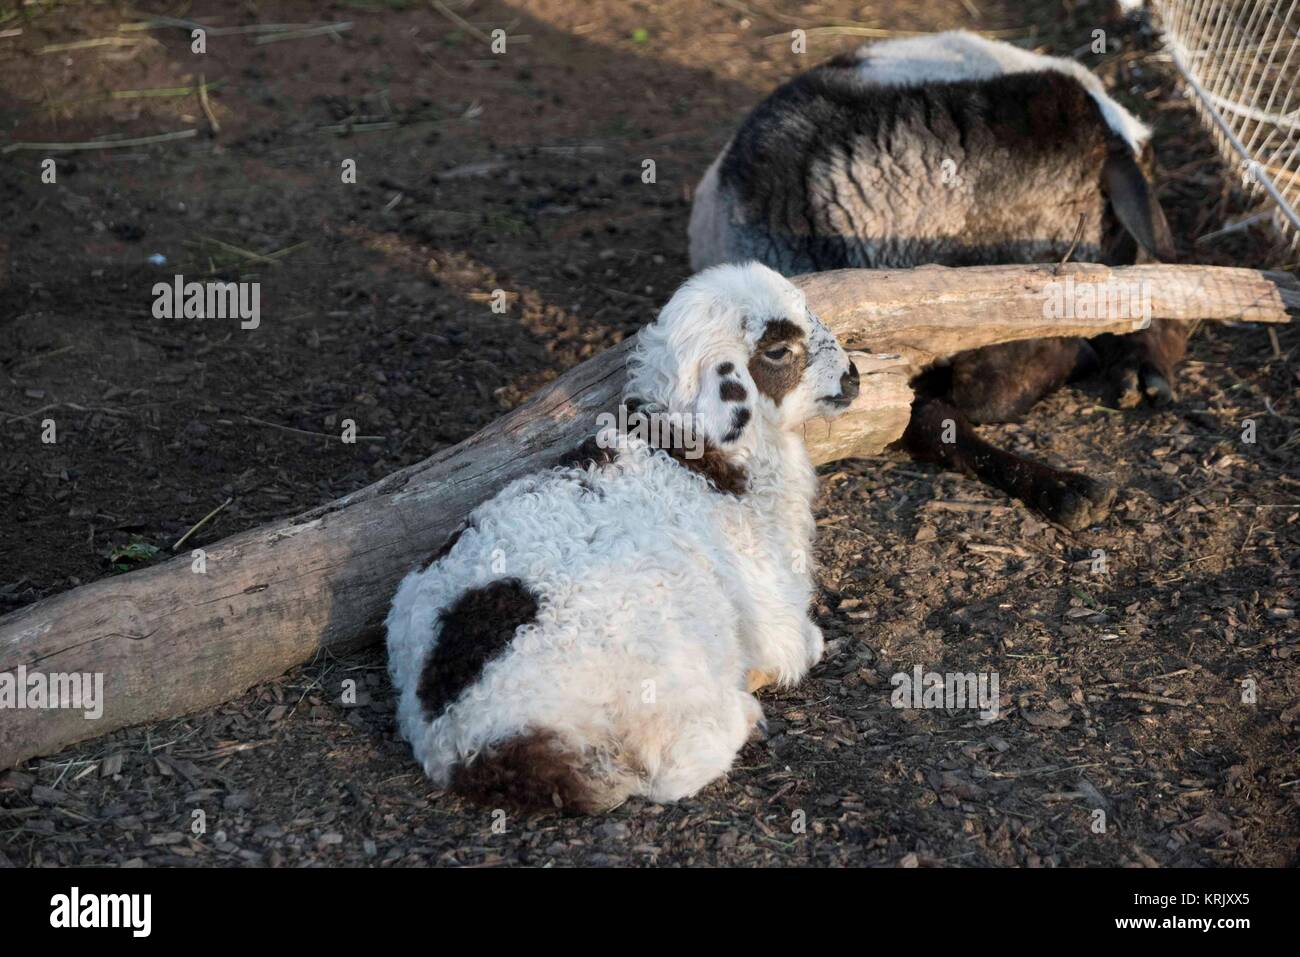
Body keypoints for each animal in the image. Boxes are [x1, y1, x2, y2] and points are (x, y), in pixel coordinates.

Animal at [385, 262, 860, 813]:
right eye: (778, 350)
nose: (853, 377)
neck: (699, 459)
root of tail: (470, 743)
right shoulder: (766, 601)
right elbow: (799, 645)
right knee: (673, 765)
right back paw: (743, 710)